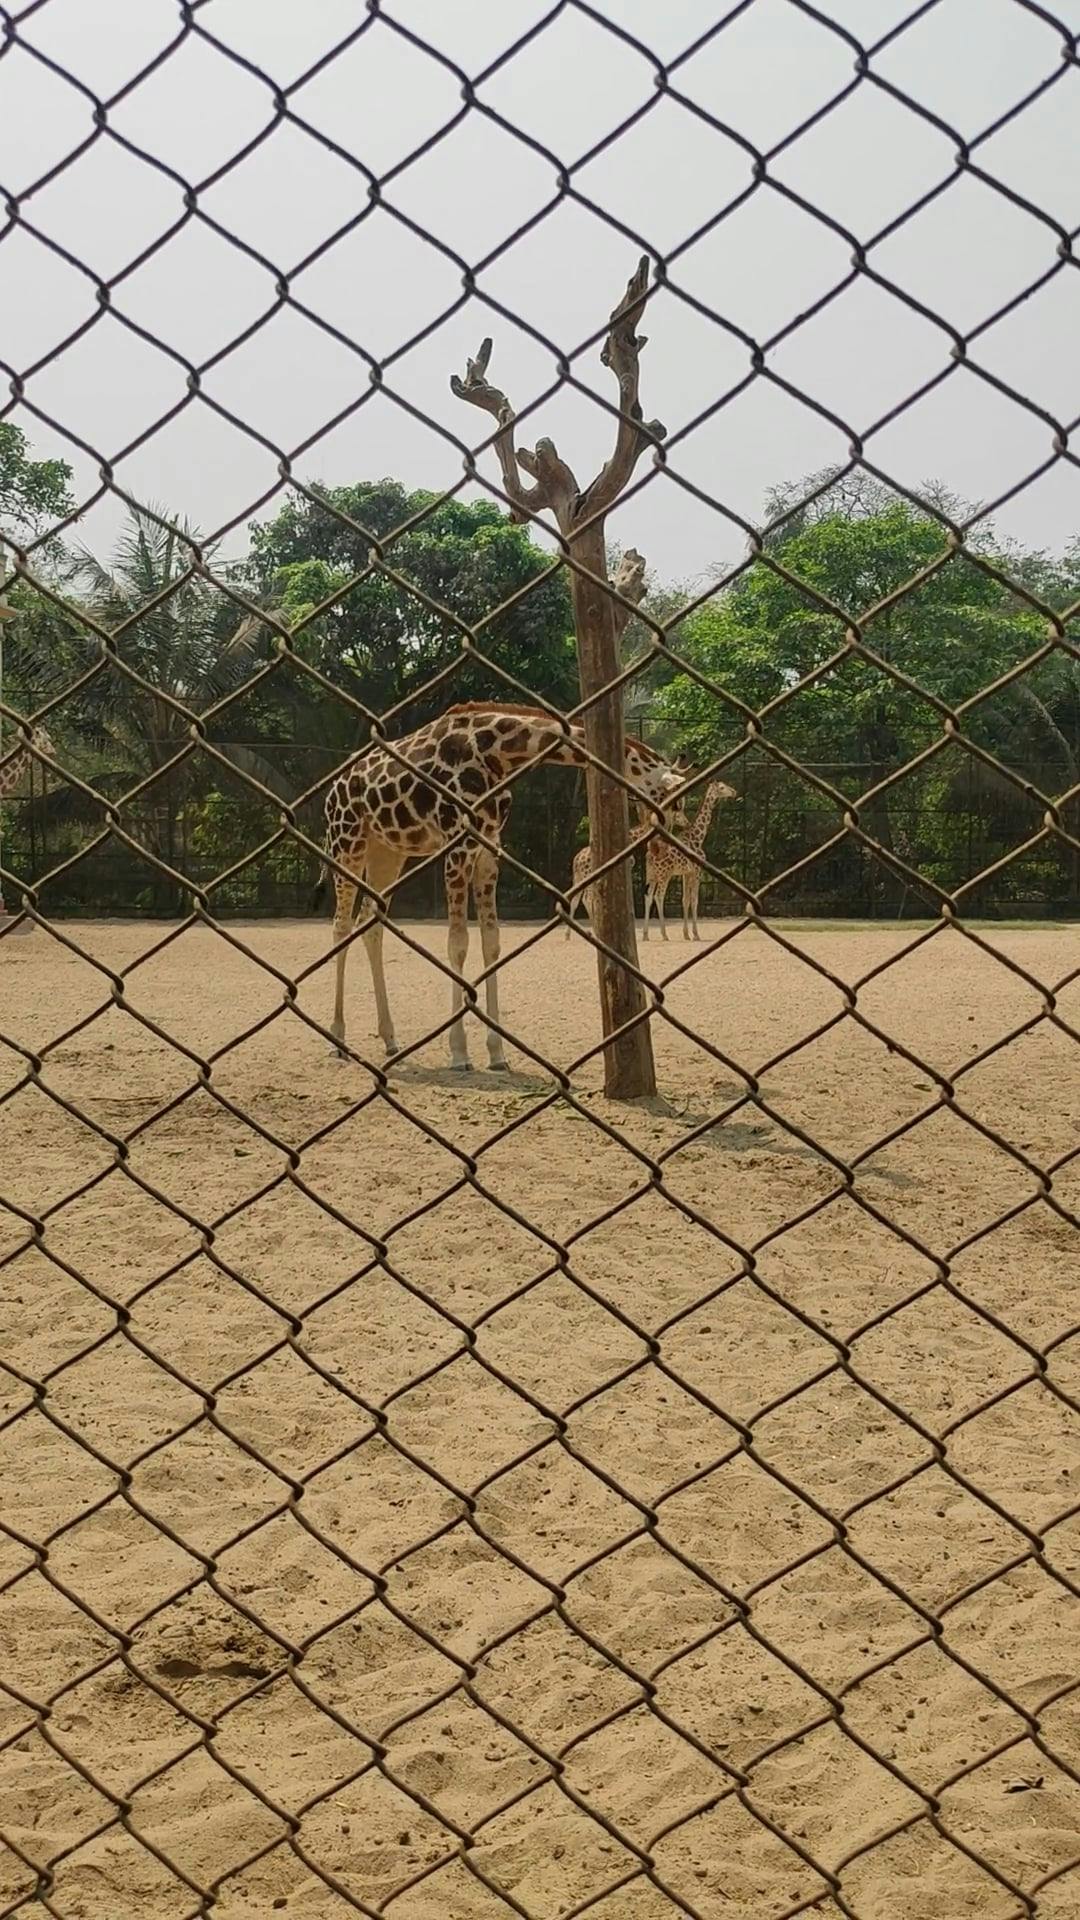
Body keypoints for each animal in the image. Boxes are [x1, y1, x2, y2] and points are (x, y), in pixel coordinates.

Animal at [325, 702, 686, 1070]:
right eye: (673, 800)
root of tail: (333, 787)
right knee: (341, 925)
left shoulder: (489, 847)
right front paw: (459, 1053)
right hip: (347, 841)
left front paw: (497, 1052)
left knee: (370, 924)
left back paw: (389, 1039)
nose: (670, 838)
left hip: (388, 851)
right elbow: (458, 943)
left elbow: (492, 943)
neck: (497, 754)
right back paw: (337, 1037)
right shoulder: (458, 844)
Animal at [642, 778, 735, 941]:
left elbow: (685, 900)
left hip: (652, 875)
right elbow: (694, 900)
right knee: (659, 897)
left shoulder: (686, 873)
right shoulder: (697, 871)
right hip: (664, 874)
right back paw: (664, 934)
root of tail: (650, 855)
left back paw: (646, 935)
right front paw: (696, 934)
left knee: (648, 896)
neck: (698, 837)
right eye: (722, 787)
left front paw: (686, 934)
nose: (734, 792)